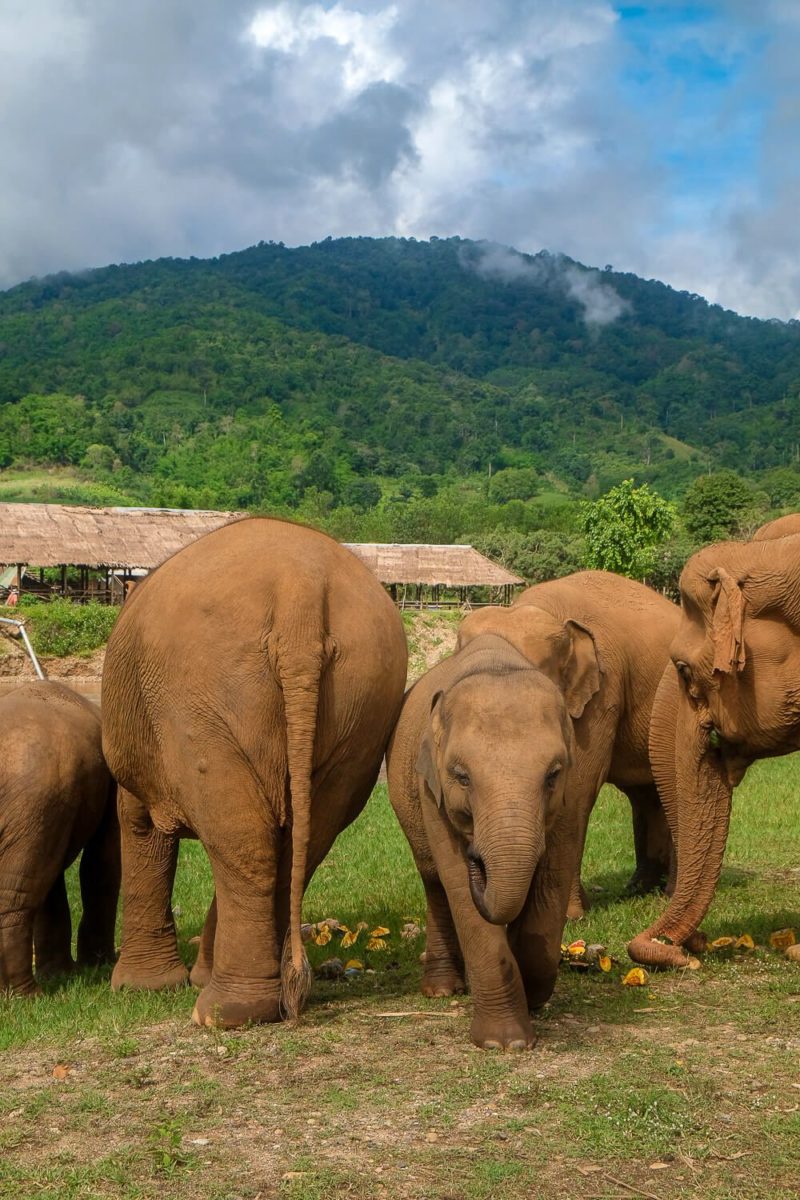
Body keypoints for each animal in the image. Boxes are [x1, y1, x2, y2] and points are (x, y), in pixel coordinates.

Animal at [0, 681, 119, 996]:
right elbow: (103, 864)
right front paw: (97, 966)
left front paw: (65, 973)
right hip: (34, 803)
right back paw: (28, 996)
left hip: (34, 806)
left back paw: (21, 993)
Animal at [101, 517, 407, 1028]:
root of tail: (299, 586)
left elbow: (140, 822)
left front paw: (140, 988)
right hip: (365, 702)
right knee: (300, 838)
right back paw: (265, 996)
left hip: (197, 698)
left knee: (244, 839)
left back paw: (222, 1013)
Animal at [386, 633, 578, 1050]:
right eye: (461, 776)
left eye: (552, 775)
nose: (477, 855)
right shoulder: (432, 792)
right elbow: (459, 888)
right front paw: (503, 1043)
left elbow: (552, 877)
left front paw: (531, 993)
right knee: (436, 885)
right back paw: (442, 990)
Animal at [457, 571, 680, 918]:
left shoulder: (603, 693)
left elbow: (575, 788)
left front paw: (569, 917)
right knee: (646, 792)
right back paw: (639, 888)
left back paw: (664, 893)